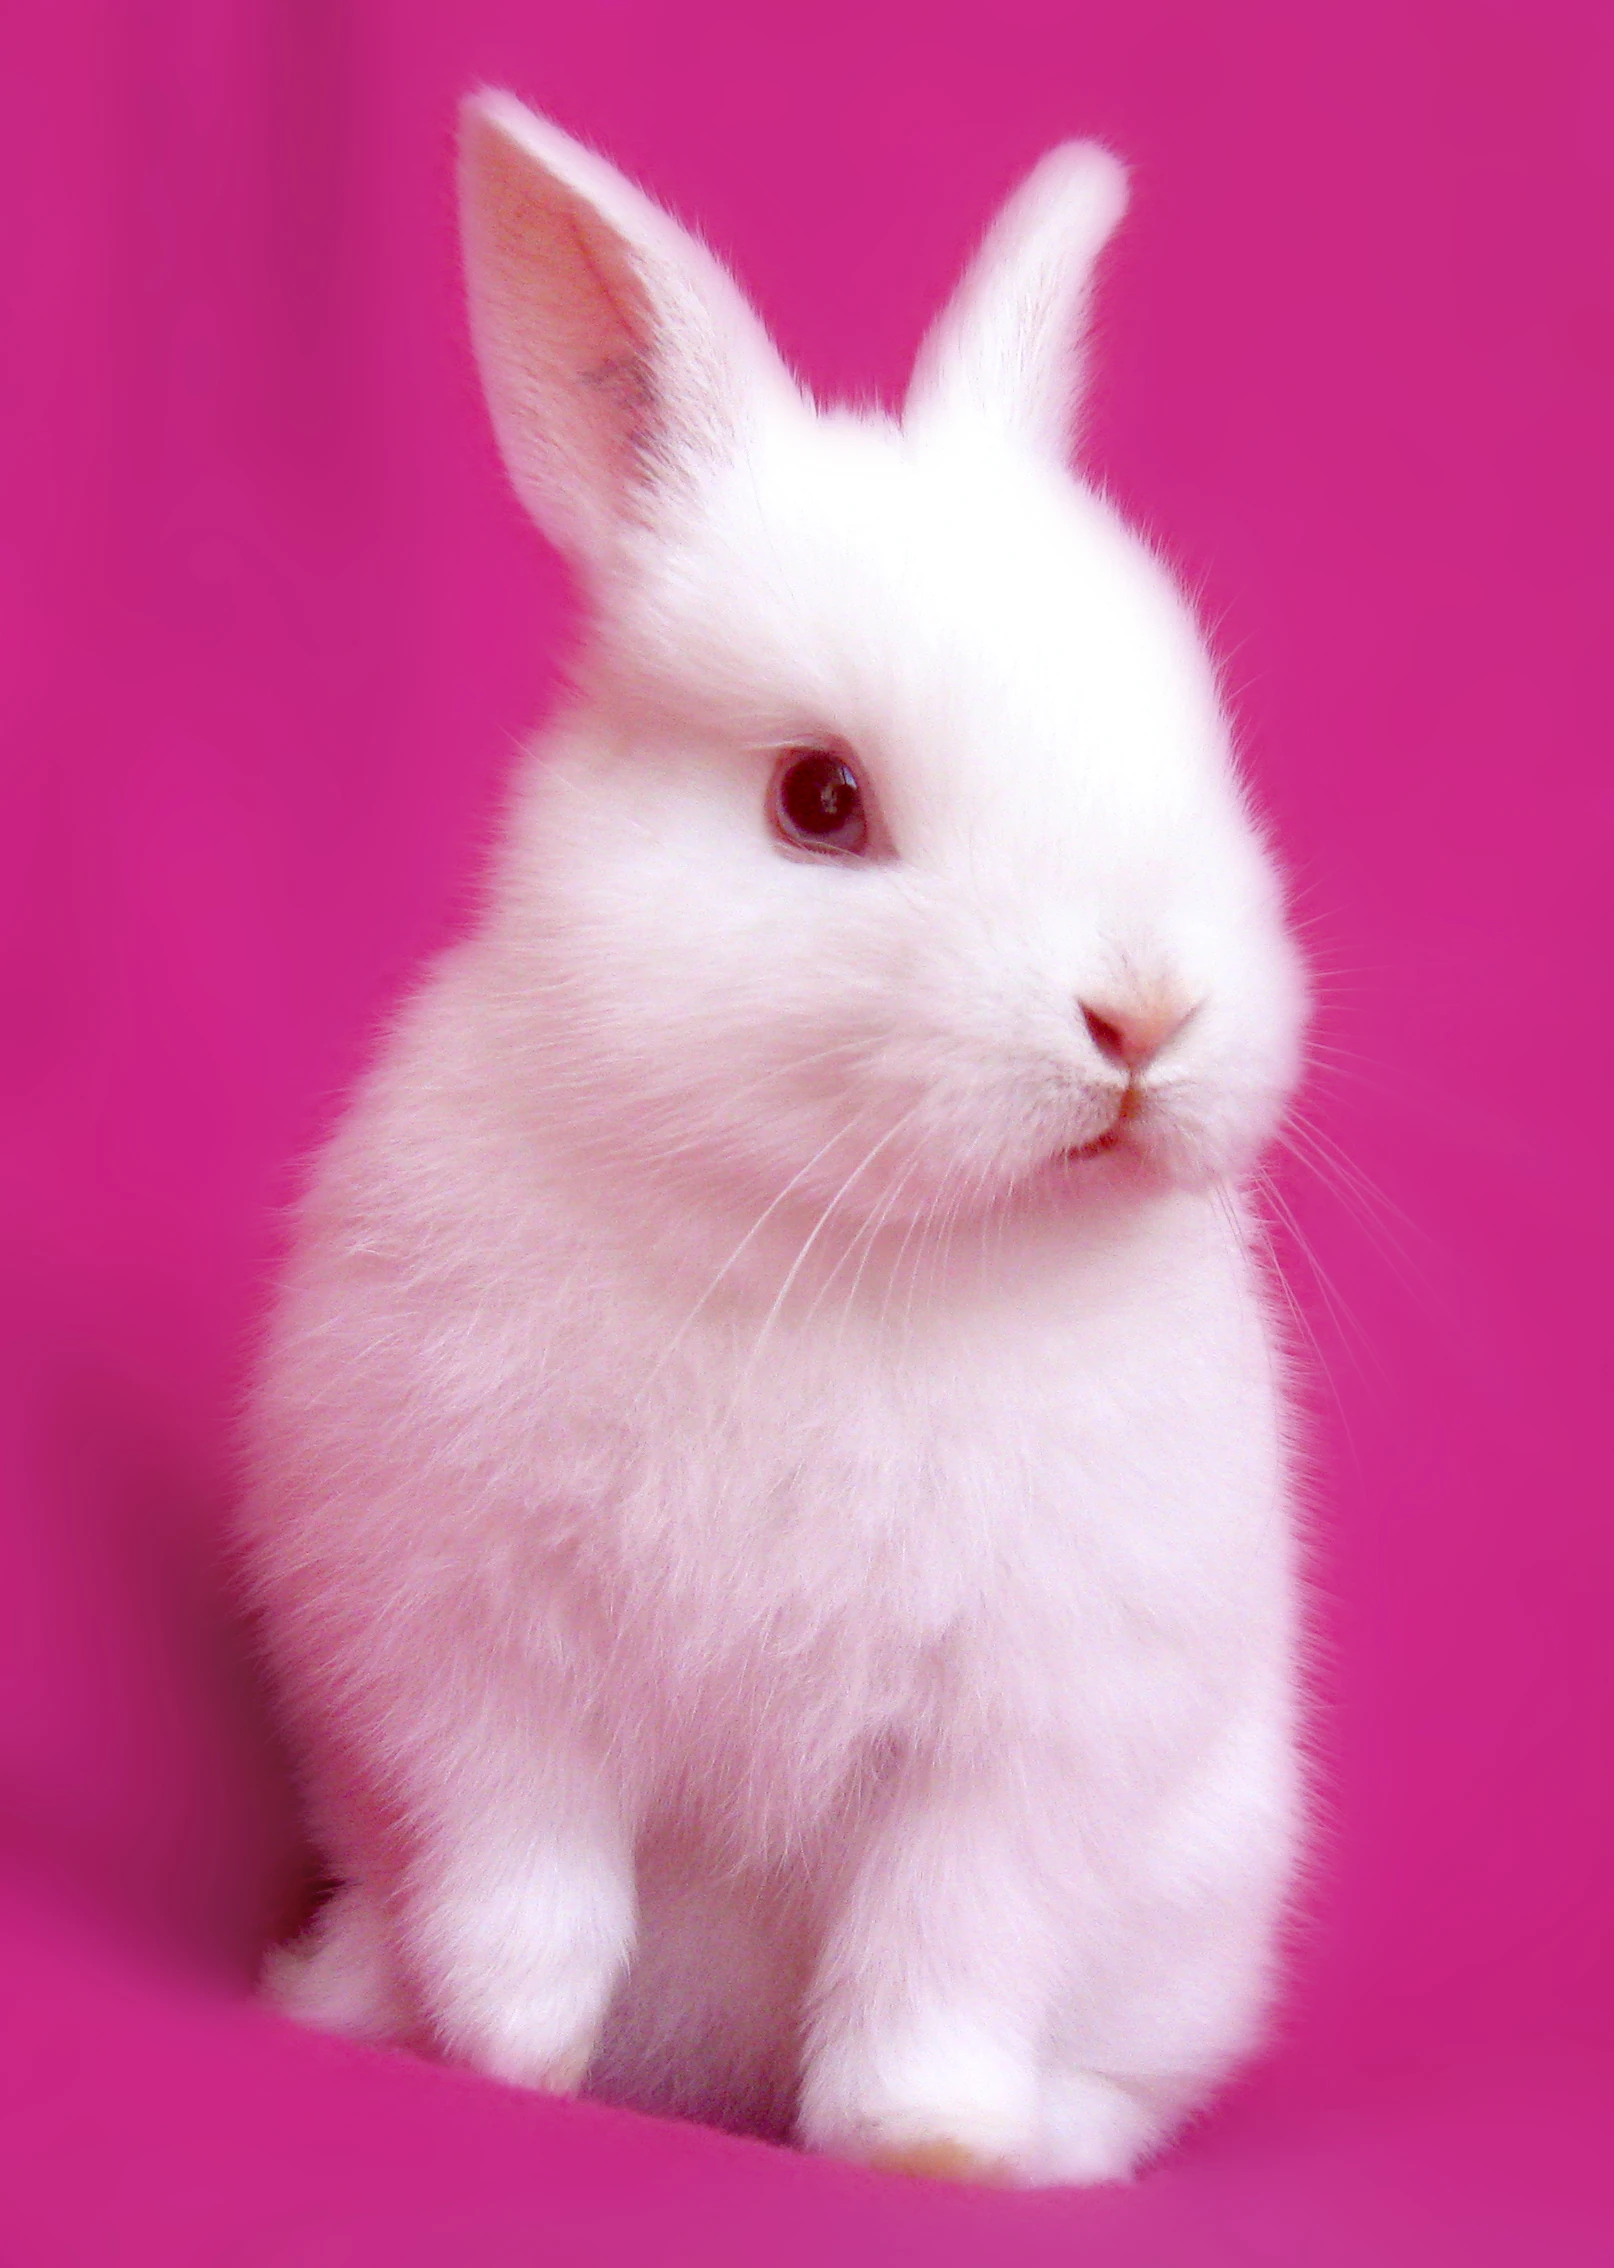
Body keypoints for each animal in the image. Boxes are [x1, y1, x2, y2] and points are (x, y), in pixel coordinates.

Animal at [240, 90, 1310, 2187]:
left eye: (1197, 740)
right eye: (817, 802)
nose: (1140, 1019)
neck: (848, 1236)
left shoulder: (1019, 1745)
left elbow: (940, 1954)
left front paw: (923, 2148)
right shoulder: (459, 1634)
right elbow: (520, 1875)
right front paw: (511, 2055)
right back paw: (337, 1999)